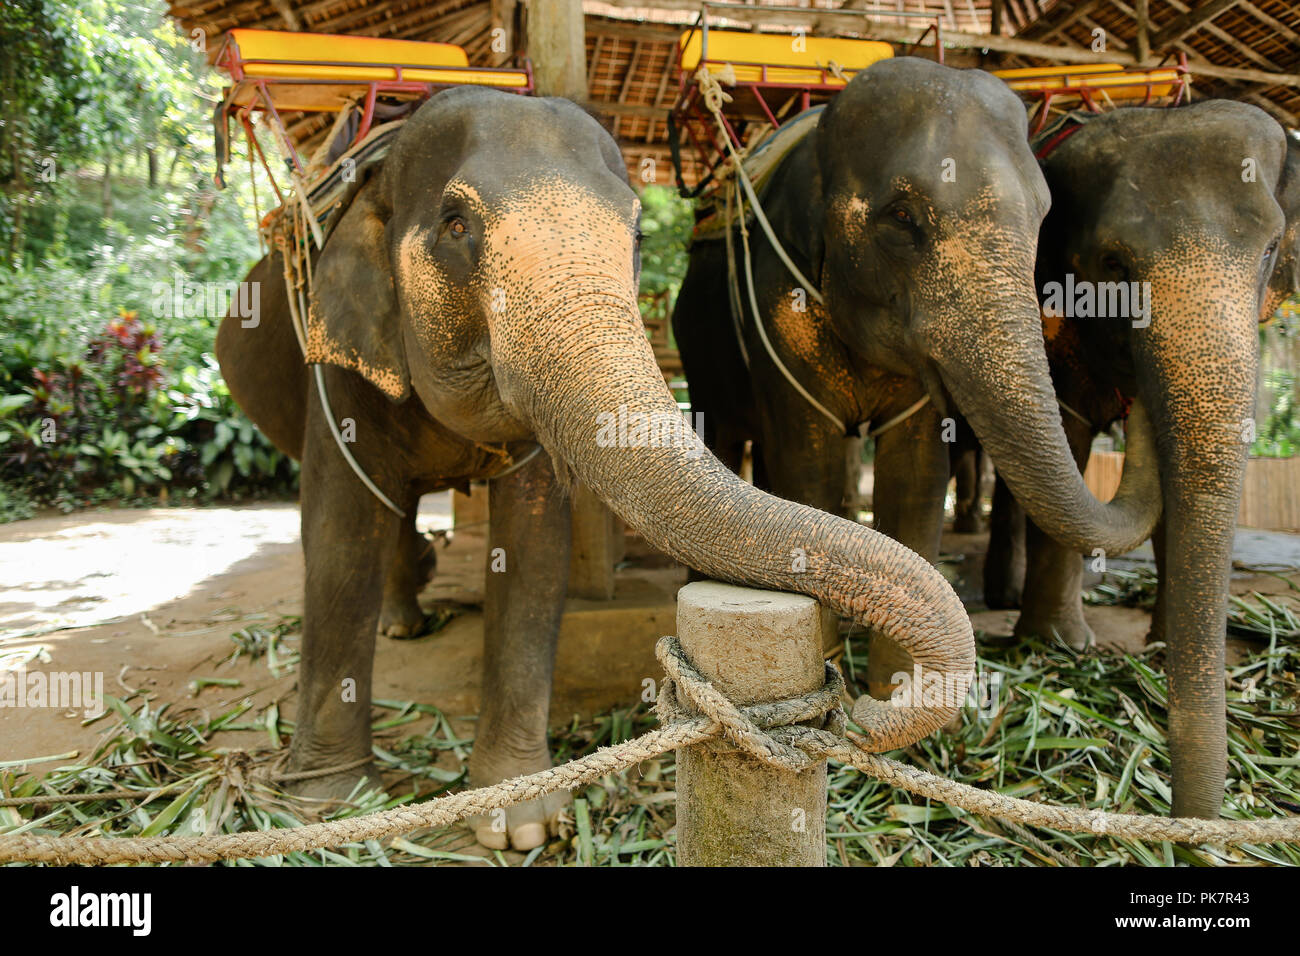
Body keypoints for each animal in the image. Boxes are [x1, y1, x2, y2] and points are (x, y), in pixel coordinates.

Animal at [216, 86, 979, 852]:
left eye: (637, 236)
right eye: (456, 226)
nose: (859, 712)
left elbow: (533, 549)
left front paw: (521, 822)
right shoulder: (337, 364)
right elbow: (339, 538)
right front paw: (328, 809)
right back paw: (401, 629)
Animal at [671, 57, 1161, 694]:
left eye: (1043, 219)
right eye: (901, 217)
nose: (1138, 406)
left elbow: (918, 478)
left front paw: (904, 691)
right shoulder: (778, 299)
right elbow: (809, 462)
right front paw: (829, 663)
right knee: (727, 440)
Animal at [976, 101, 1291, 819]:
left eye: (1270, 250)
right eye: (1113, 263)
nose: (1191, 817)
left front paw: (1160, 646)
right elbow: (1069, 432)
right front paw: (1058, 646)